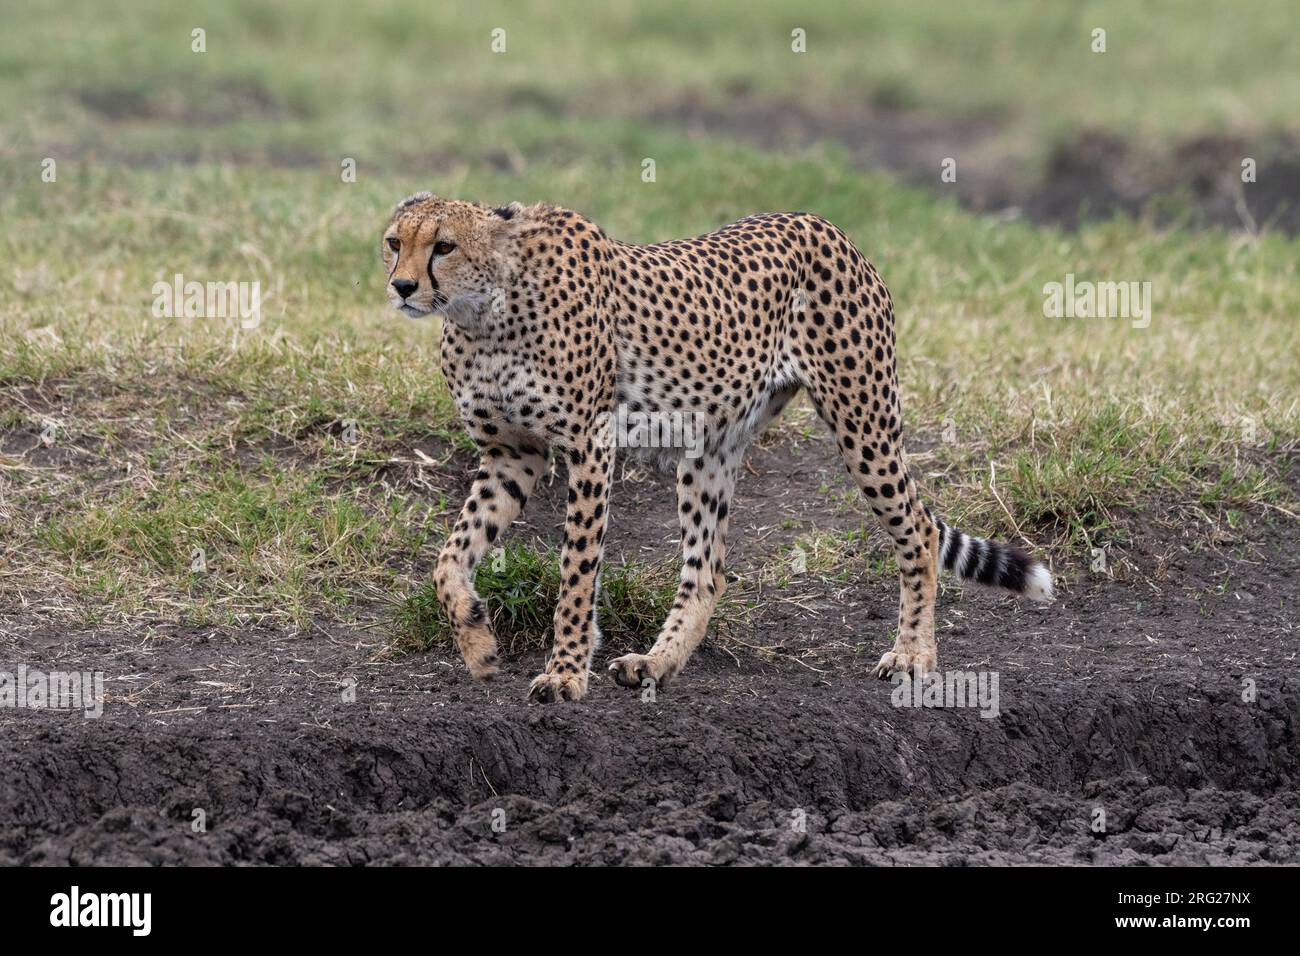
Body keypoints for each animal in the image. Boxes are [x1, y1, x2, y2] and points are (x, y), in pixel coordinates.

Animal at [381, 193, 1053, 703]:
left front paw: (566, 673)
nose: (403, 286)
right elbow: (449, 558)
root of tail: (822, 223)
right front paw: (477, 640)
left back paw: (913, 653)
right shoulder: (512, 455)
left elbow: (576, 569)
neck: (483, 315)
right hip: (710, 446)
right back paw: (656, 663)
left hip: (862, 419)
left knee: (919, 530)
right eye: (394, 242)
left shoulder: (589, 445)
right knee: (708, 571)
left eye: (443, 246)